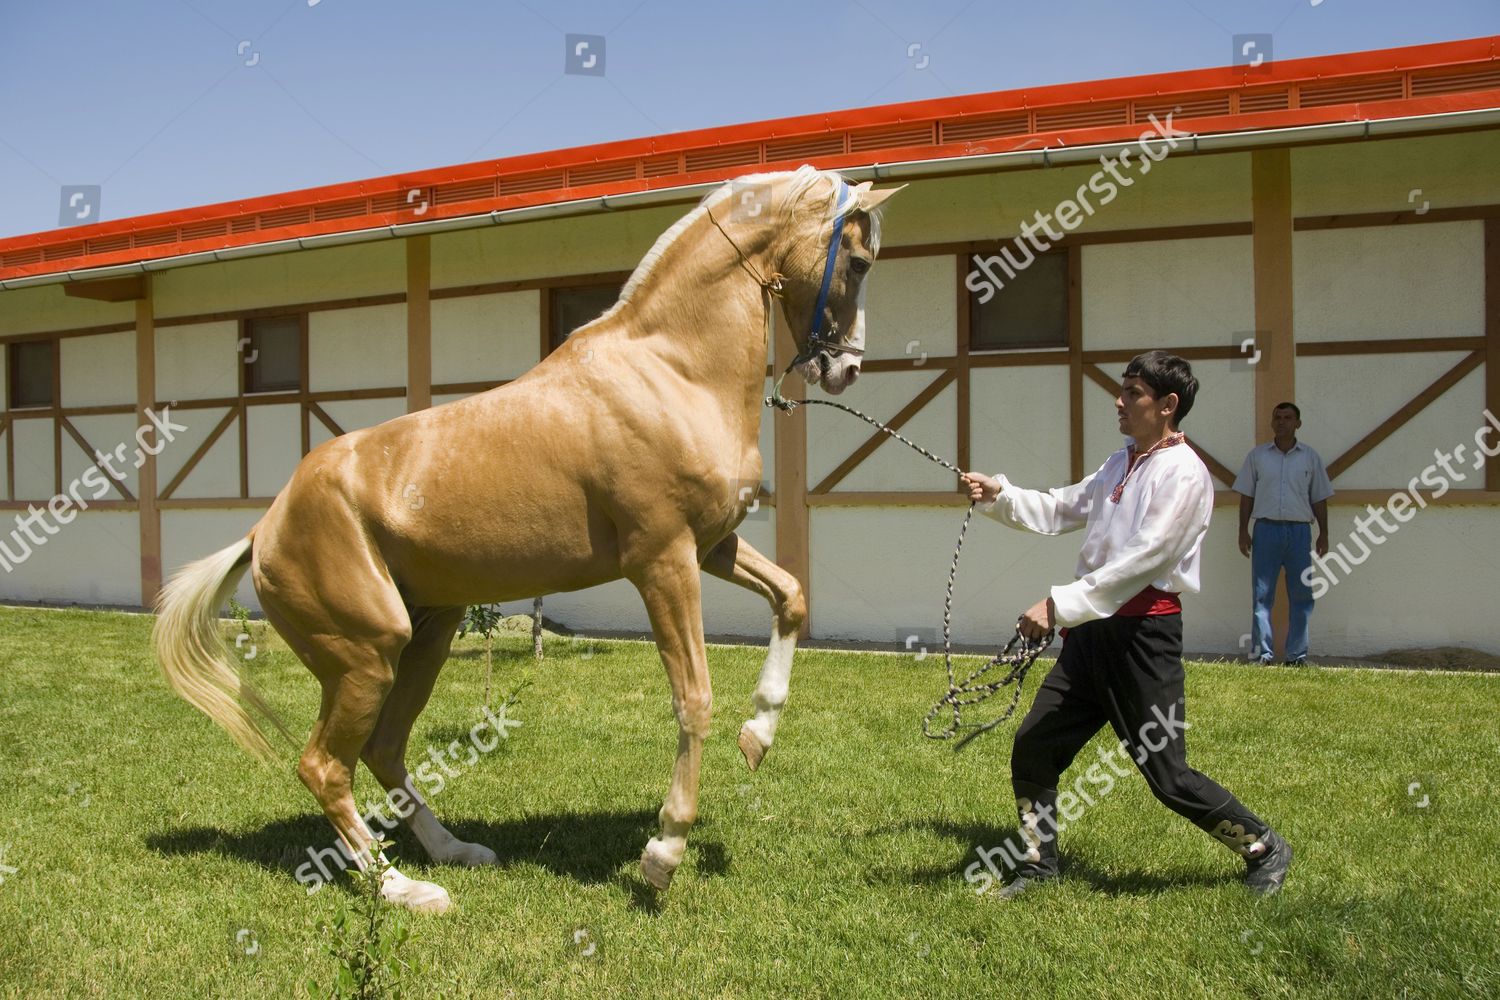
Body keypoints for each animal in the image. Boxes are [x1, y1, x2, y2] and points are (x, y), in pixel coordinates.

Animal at [152, 166, 902, 912]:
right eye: (859, 261)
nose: (846, 370)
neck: (670, 373)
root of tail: (263, 529)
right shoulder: (662, 561)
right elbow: (693, 699)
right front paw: (663, 853)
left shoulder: (712, 547)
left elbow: (792, 597)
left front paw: (759, 735)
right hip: (366, 655)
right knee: (324, 766)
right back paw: (402, 887)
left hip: (426, 636)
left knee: (383, 749)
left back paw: (456, 851)